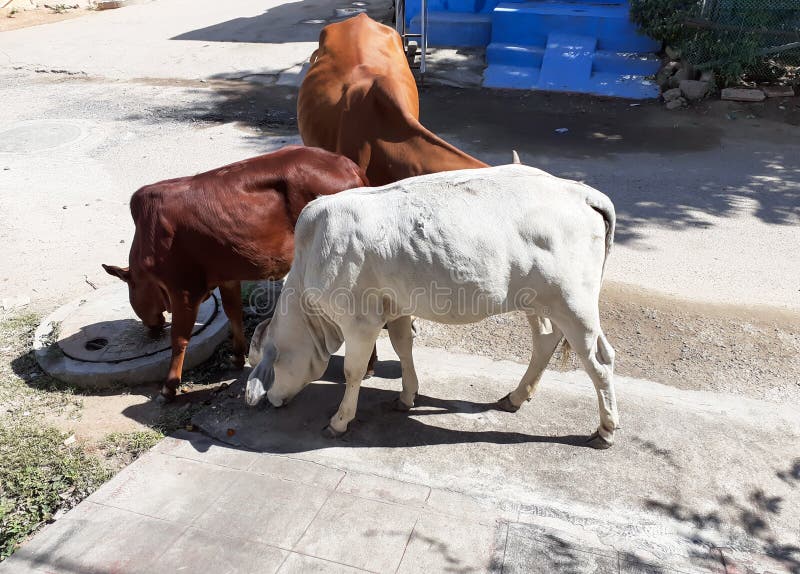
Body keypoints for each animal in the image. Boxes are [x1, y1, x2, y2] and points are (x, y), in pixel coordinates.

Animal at [102, 146, 368, 402]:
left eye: (132, 289)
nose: (152, 327)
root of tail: (349, 165)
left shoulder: (184, 290)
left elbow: (179, 339)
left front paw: (168, 388)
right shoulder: (227, 278)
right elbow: (234, 314)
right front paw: (237, 357)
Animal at [245, 164, 620, 449]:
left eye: (269, 363)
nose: (270, 401)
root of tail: (579, 192)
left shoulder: (360, 321)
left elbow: (354, 372)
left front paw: (339, 421)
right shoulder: (395, 308)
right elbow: (403, 347)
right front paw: (406, 396)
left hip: (574, 304)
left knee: (600, 361)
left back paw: (605, 430)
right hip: (539, 300)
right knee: (545, 340)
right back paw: (514, 398)